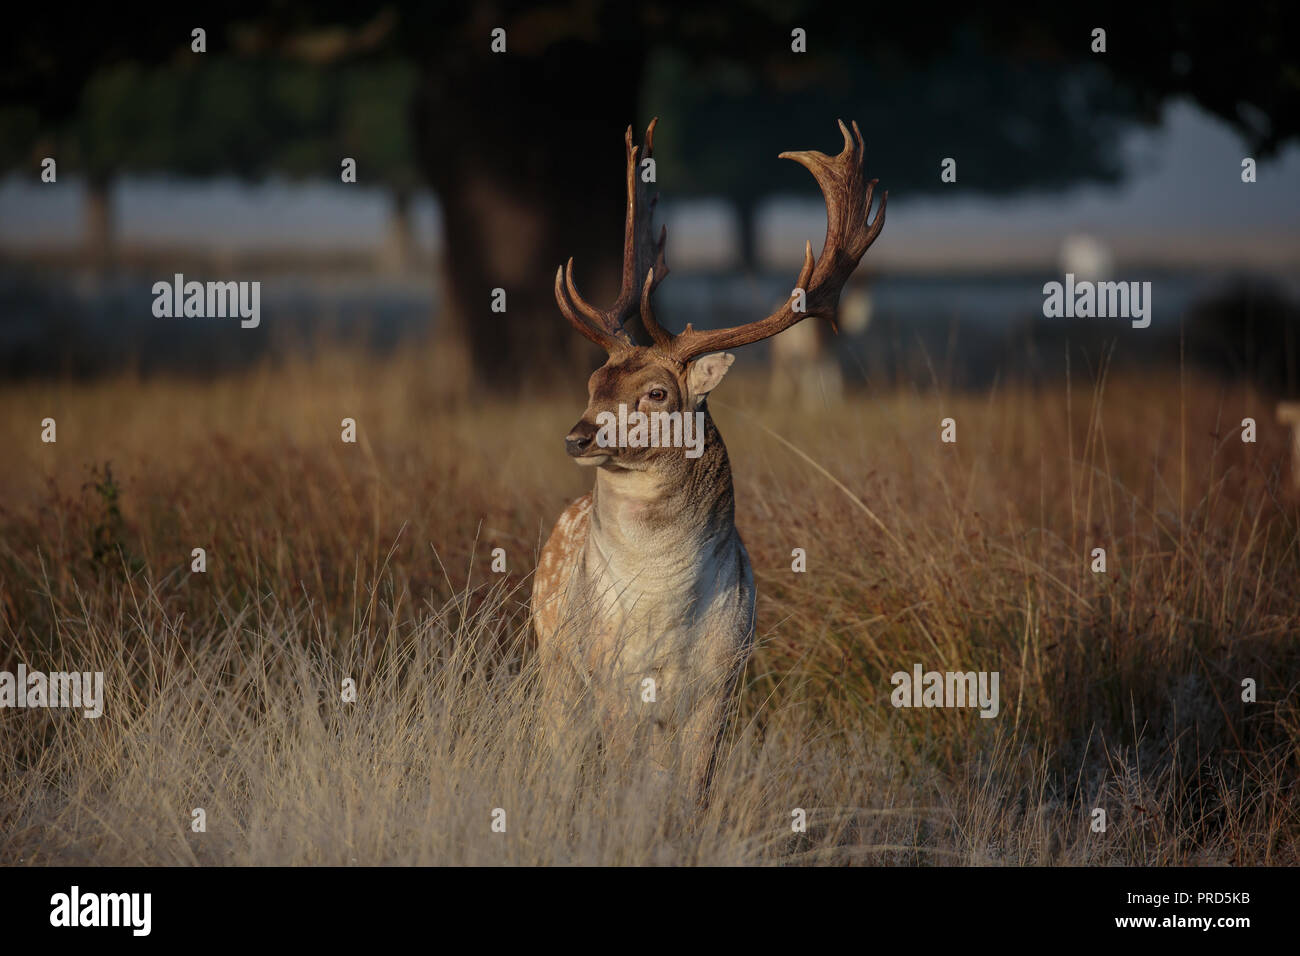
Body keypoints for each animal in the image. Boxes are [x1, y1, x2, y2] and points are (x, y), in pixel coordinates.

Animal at [532, 117, 886, 802]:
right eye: (593, 382)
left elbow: (692, 792)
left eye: (657, 393)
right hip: (556, 663)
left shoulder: (723, 679)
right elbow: (624, 782)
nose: (577, 437)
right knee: (560, 756)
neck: (664, 612)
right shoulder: (612, 677)